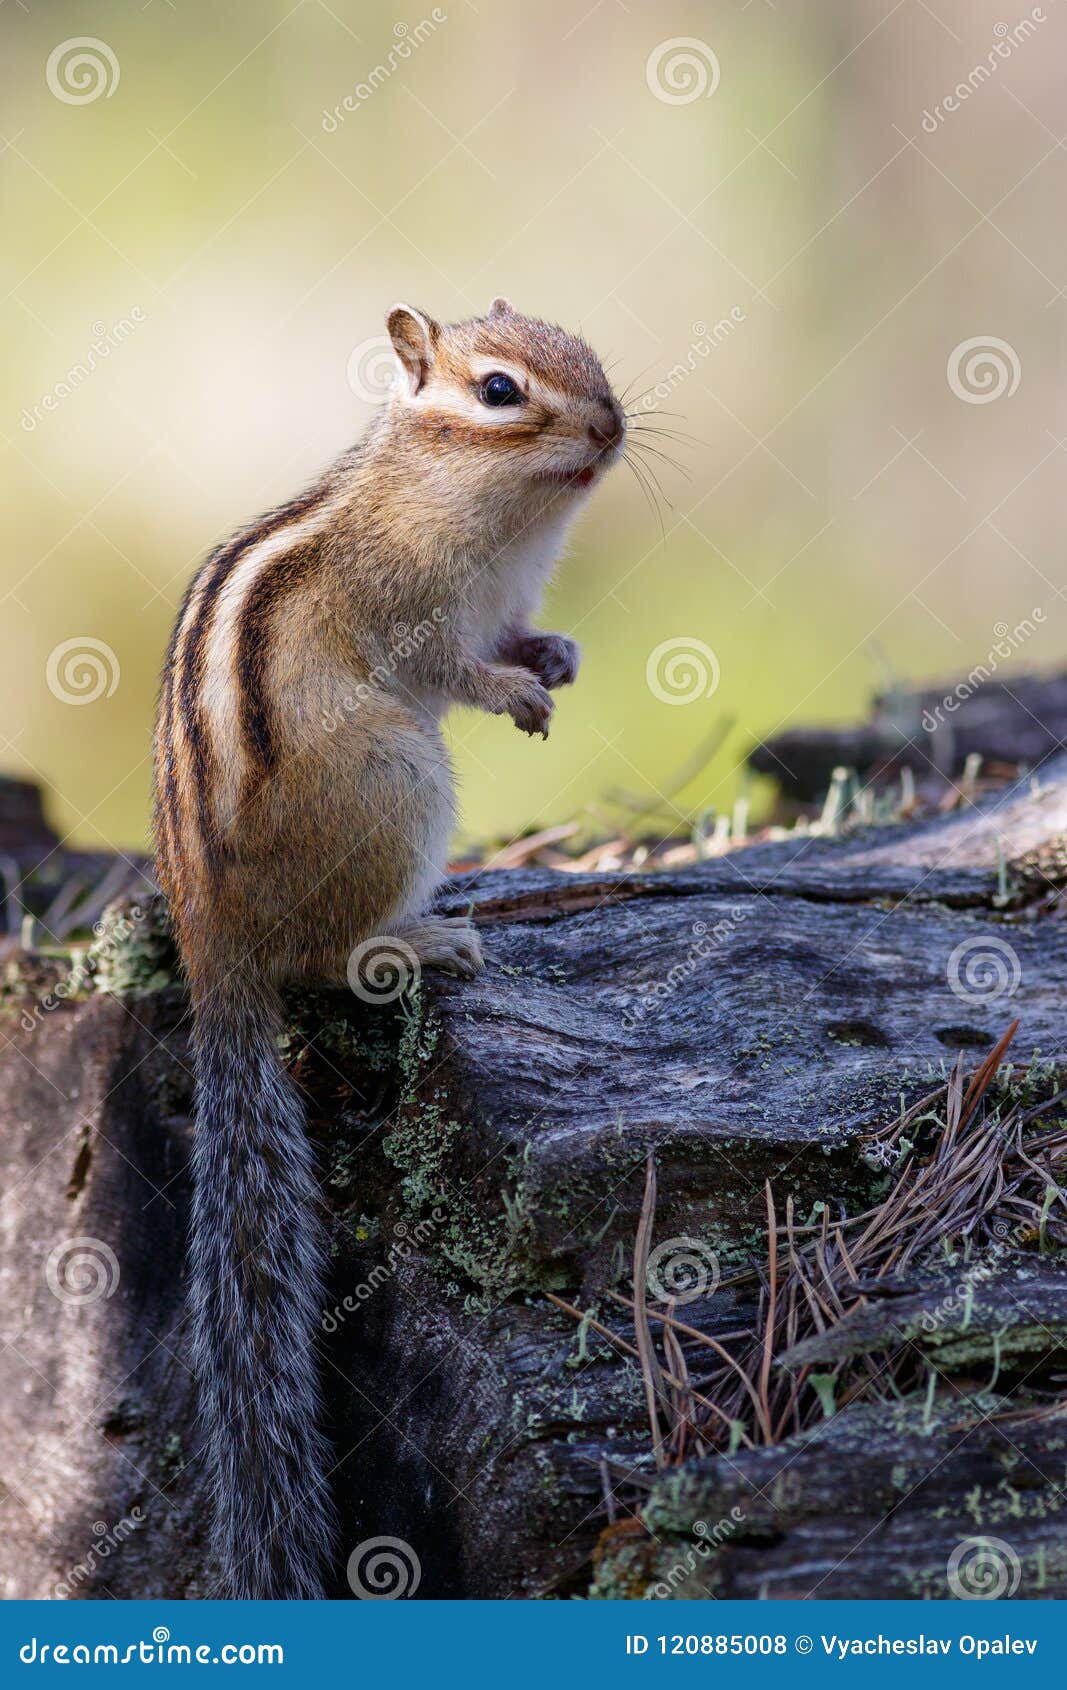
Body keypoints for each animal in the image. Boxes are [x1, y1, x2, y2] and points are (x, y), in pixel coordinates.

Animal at [152, 297, 625, 1599]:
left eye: (590, 355)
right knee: (324, 963)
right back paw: (425, 942)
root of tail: (213, 948)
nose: (612, 427)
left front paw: (555, 660)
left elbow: (523, 636)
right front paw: (514, 693)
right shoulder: (413, 616)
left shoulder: (507, 596)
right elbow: (449, 667)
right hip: (400, 774)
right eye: (500, 390)